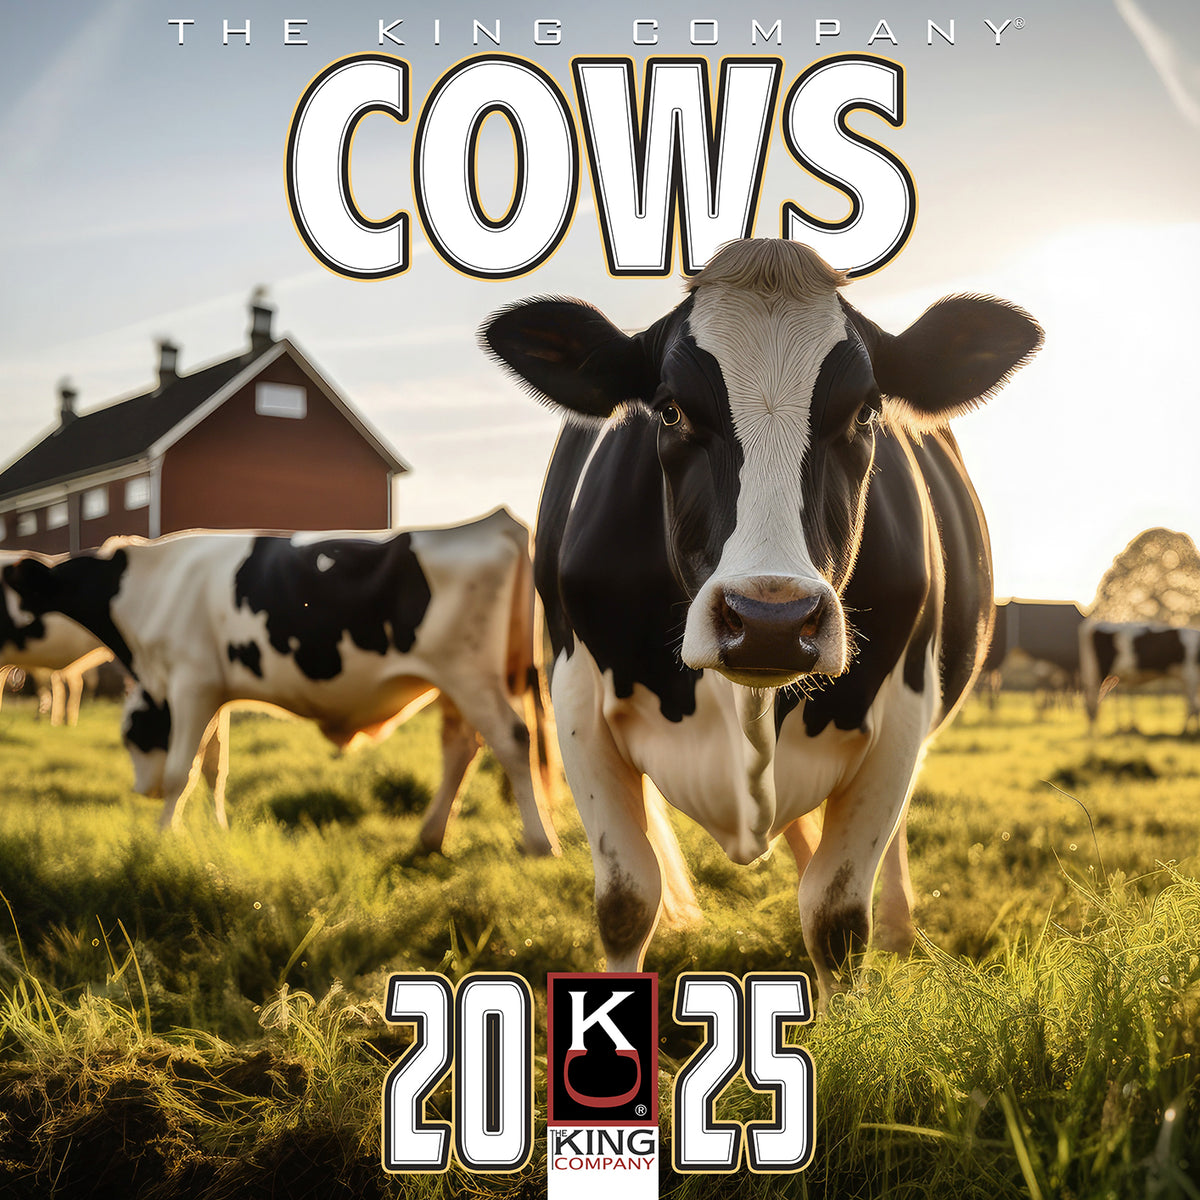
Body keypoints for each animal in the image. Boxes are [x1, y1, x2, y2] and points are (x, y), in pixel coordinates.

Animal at [3, 509, 561, 855]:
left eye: (130, 735)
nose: (140, 790)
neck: (149, 585)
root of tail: (494, 523)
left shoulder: (189, 681)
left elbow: (183, 770)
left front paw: (164, 837)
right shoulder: (214, 689)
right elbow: (215, 766)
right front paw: (217, 831)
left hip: (471, 674)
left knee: (513, 740)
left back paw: (540, 843)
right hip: (454, 683)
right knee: (460, 747)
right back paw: (429, 837)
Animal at [482, 238, 1041, 999]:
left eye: (865, 414)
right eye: (669, 412)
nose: (771, 619)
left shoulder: (903, 707)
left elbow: (836, 919)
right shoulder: (574, 695)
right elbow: (627, 903)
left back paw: (901, 932)